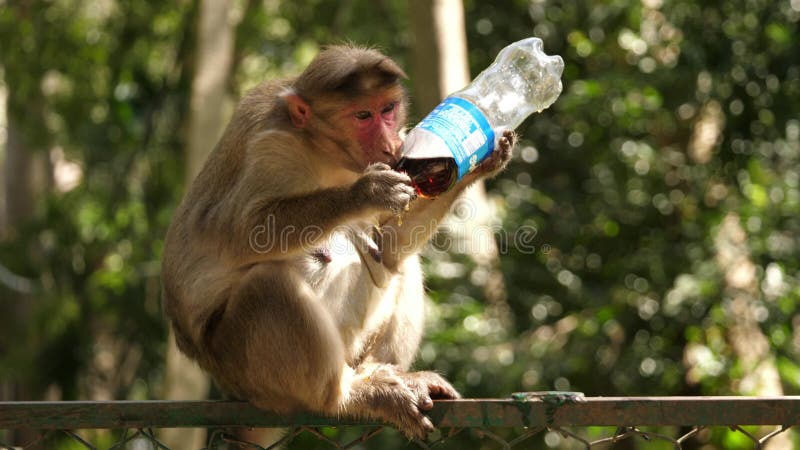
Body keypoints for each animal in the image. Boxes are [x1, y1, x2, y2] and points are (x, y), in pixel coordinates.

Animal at [161, 44, 517, 440]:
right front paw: (365, 192)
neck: (323, 152)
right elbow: (239, 229)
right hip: (243, 369)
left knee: (396, 262)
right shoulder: (272, 148)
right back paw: (347, 397)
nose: (390, 142)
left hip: (351, 345)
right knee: (268, 284)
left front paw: (485, 156)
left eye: (387, 109)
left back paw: (386, 374)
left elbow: (388, 240)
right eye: (362, 115)